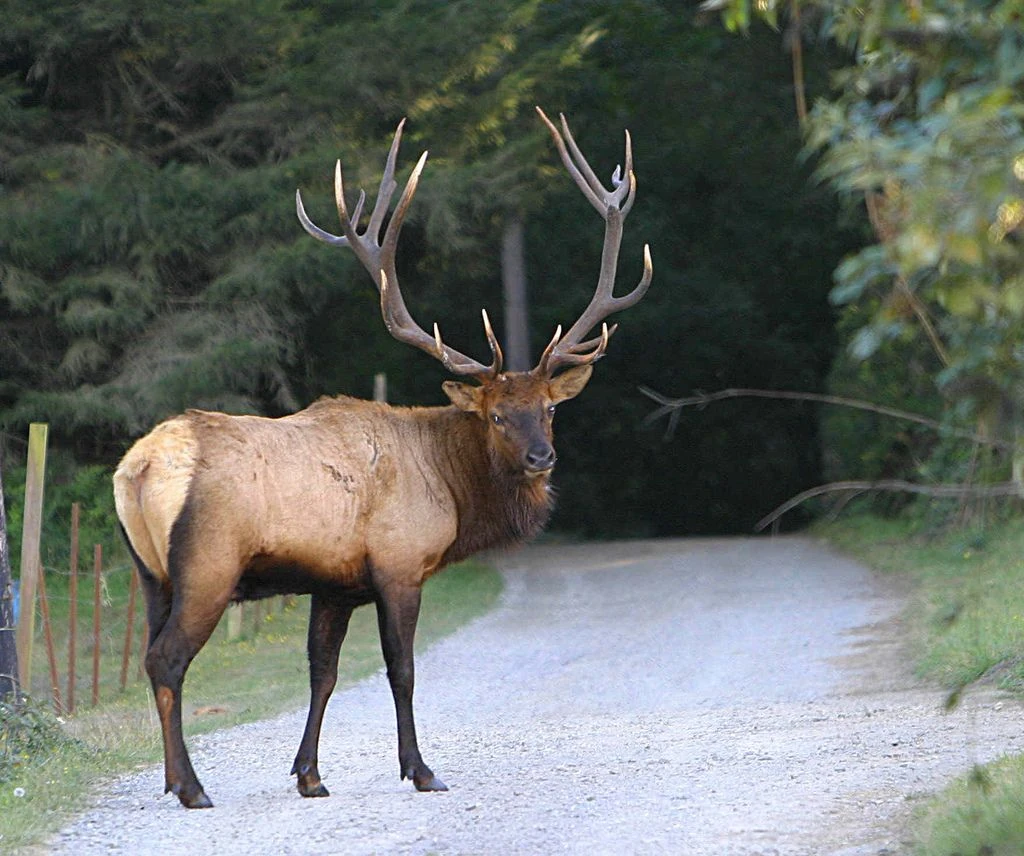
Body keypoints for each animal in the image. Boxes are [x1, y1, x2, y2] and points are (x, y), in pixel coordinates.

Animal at [113, 107, 652, 809]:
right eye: (495, 414)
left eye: (551, 409)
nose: (542, 457)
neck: (451, 490)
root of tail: (137, 469)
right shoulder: (399, 564)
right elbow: (403, 671)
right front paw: (421, 769)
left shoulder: (335, 583)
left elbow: (323, 672)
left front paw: (310, 775)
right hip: (207, 565)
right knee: (167, 658)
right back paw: (190, 787)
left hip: (150, 573)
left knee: (151, 656)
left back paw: (176, 780)